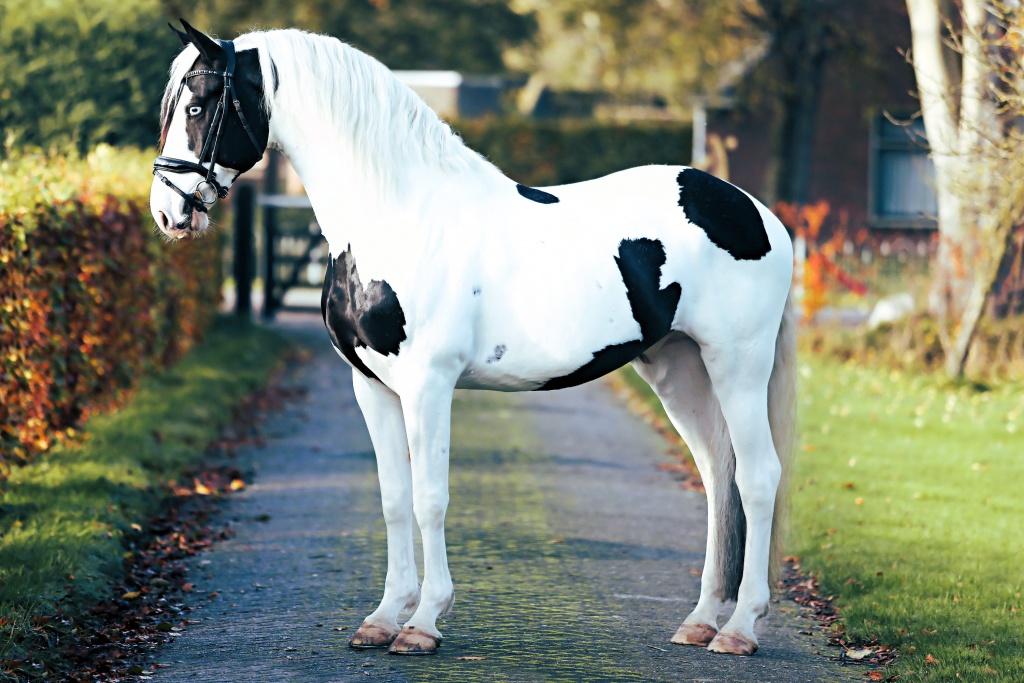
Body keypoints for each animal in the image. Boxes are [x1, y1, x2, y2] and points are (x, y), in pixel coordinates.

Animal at [150, 20, 797, 658]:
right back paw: (700, 622)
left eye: (199, 104)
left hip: (736, 365)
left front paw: (422, 624)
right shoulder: (372, 387)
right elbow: (393, 498)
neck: (397, 216)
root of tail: (758, 212)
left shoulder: (428, 385)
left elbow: (430, 497)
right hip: (677, 367)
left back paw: (740, 630)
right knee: (716, 478)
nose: (167, 213)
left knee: (758, 478)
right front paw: (382, 619)